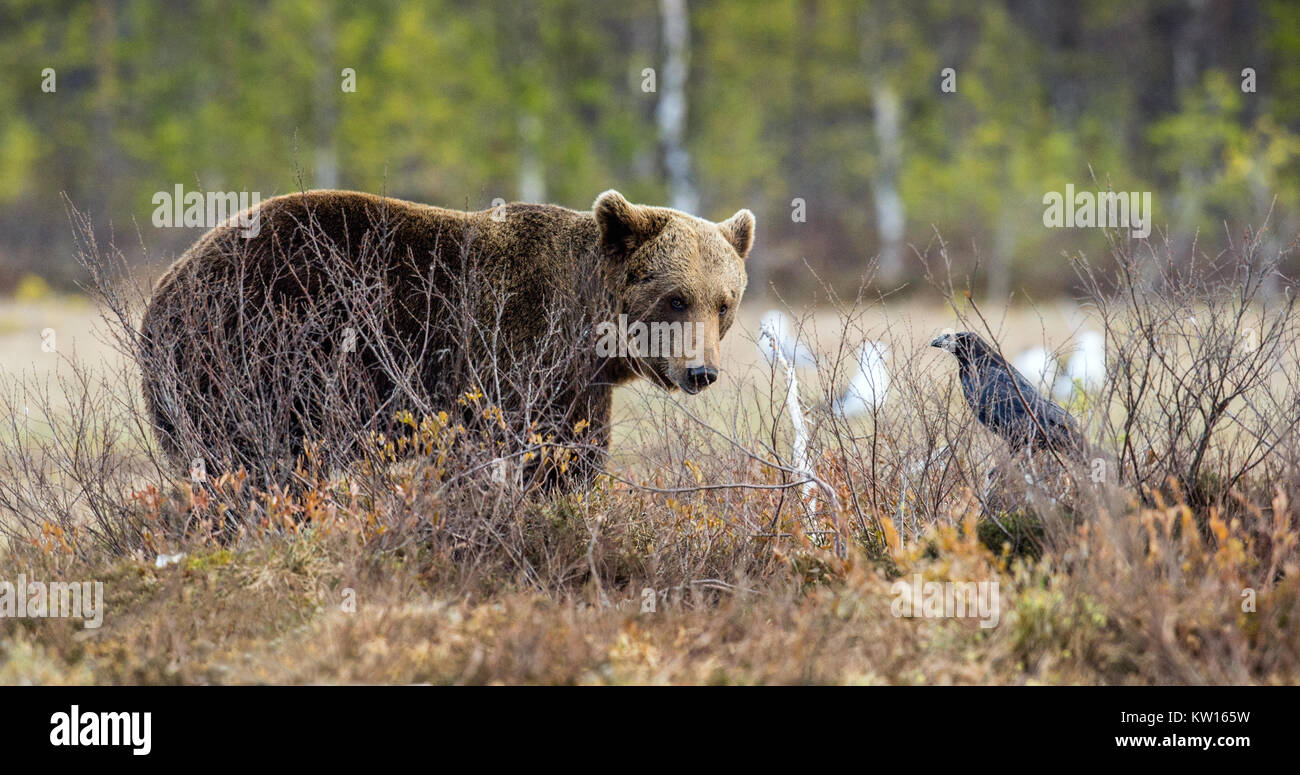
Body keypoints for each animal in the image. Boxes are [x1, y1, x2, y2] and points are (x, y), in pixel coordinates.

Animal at [138, 189, 753, 490]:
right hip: (252, 353)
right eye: (676, 298)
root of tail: (164, 289)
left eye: (723, 302)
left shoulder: (578, 383)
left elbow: (574, 453)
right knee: (257, 461)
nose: (701, 372)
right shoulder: (509, 347)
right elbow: (509, 444)